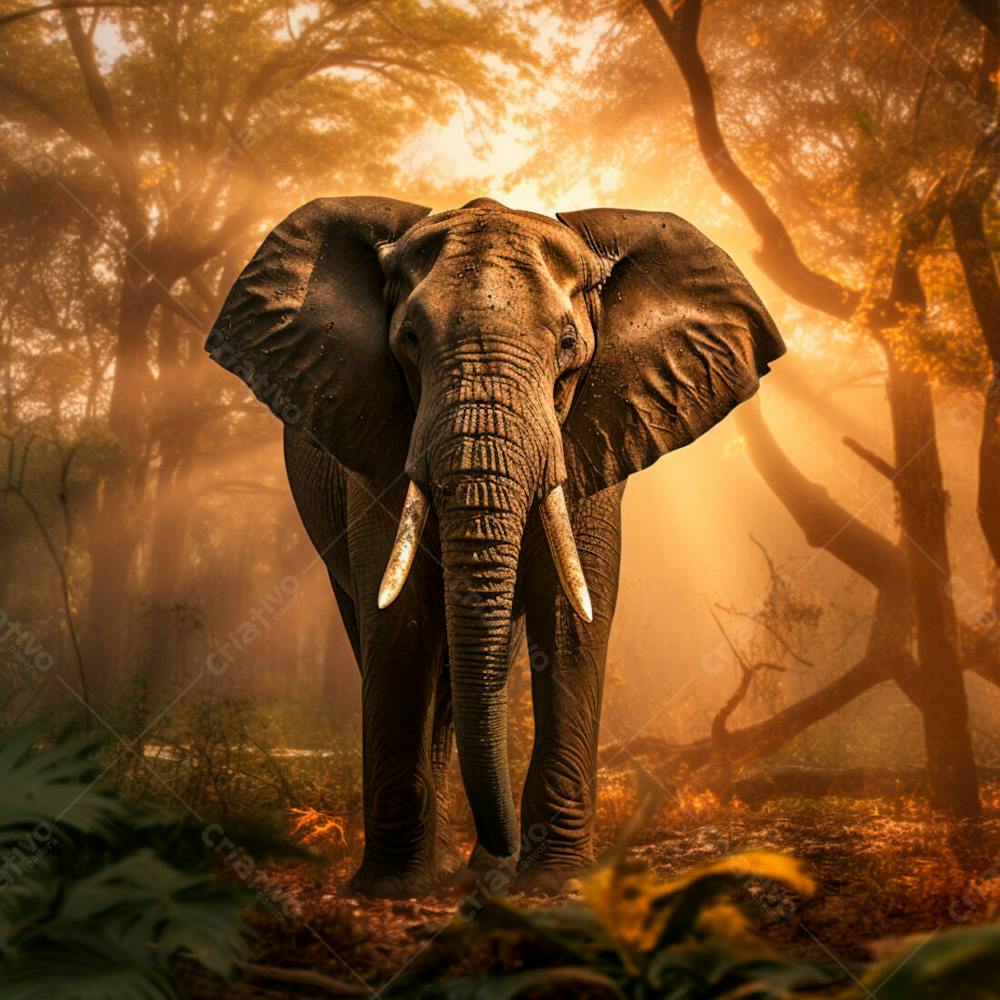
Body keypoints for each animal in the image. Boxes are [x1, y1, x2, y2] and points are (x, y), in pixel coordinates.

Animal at [206, 195, 784, 898]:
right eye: (409, 341)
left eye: (568, 346)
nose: (503, 850)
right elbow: (400, 625)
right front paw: (393, 888)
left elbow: (571, 620)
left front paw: (553, 880)